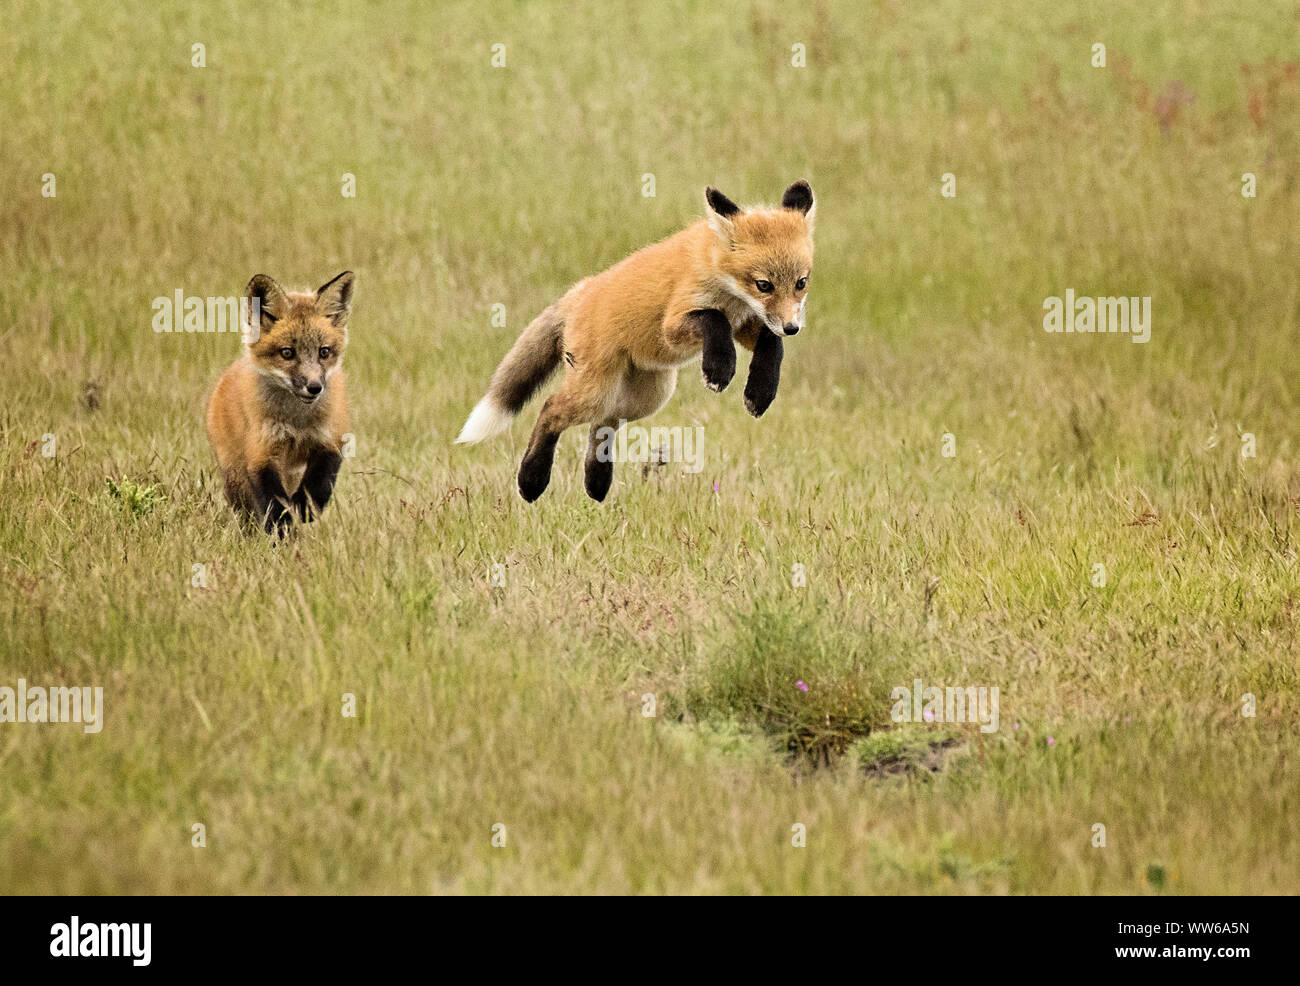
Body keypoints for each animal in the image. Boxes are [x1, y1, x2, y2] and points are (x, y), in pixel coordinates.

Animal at [206, 271, 354, 533]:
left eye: (324, 352)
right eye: (287, 353)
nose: (314, 387)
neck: (297, 421)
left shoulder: (331, 440)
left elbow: (319, 487)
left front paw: (304, 509)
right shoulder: (262, 453)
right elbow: (274, 505)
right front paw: (281, 531)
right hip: (236, 477)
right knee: (247, 513)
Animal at [456, 179, 815, 503]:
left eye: (801, 283)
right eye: (764, 285)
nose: (793, 327)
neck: (727, 286)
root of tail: (579, 291)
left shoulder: (748, 323)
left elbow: (772, 346)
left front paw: (760, 392)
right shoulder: (676, 324)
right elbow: (714, 319)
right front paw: (719, 369)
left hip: (647, 397)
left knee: (604, 423)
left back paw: (596, 482)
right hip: (595, 390)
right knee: (551, 409)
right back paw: (532, 479)